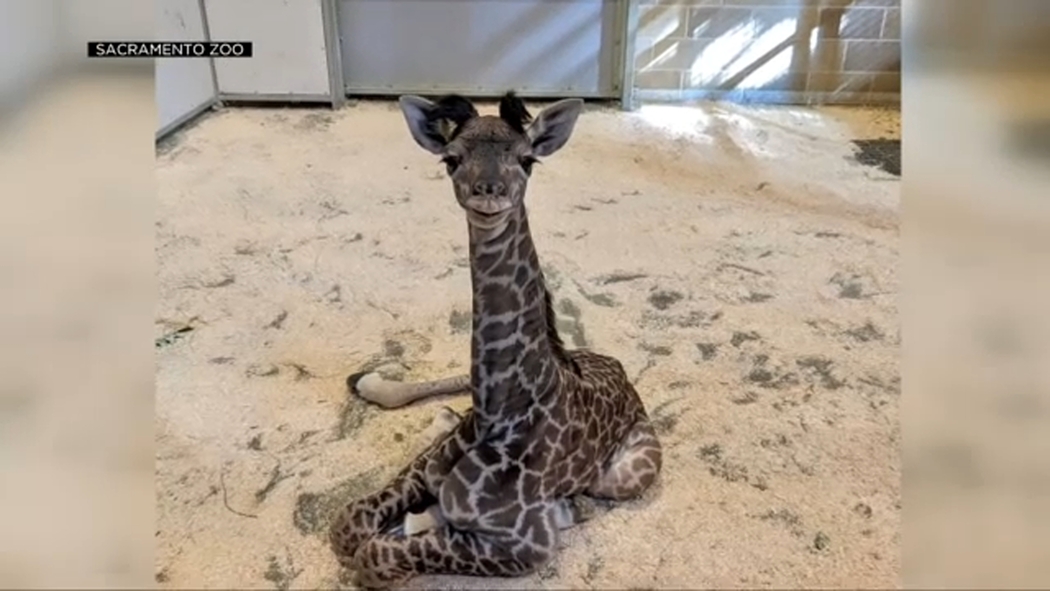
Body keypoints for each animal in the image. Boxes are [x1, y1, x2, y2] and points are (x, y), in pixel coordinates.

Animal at [328, 92, 663, 589]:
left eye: (527, 160)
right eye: (450, 159)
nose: (489, 194)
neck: (497, 416)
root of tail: (620, 370)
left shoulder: (529, 546)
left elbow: (376, 554)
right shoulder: (424, 469)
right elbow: (347, 525)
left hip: (629, 475)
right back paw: (381, 388)